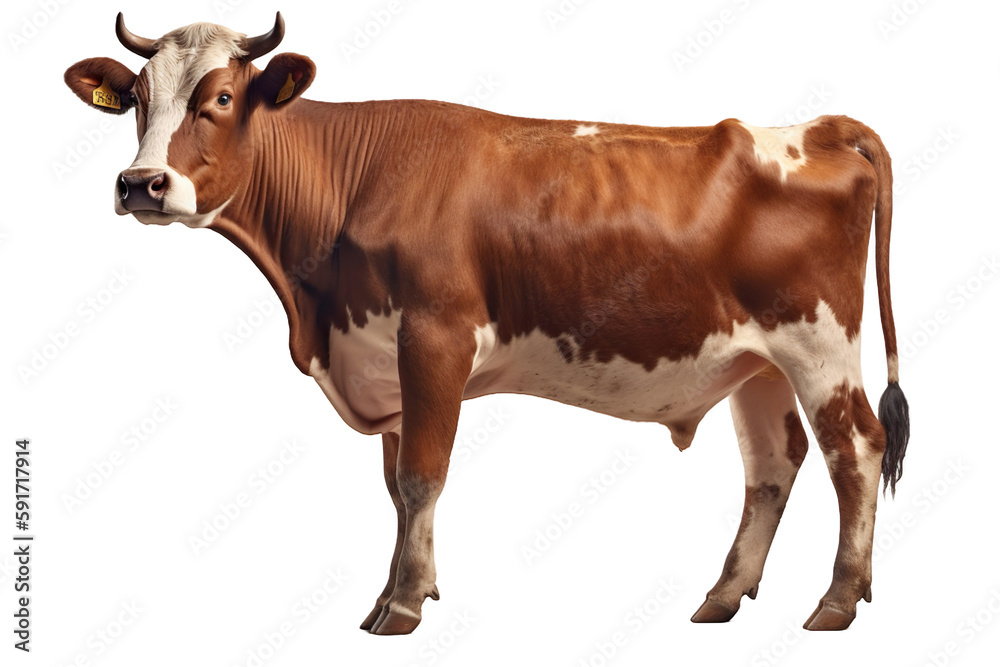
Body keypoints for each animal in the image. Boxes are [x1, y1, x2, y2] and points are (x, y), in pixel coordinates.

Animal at [65, 13, 910, 635]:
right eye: (137, 99)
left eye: (219, 99)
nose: (142, 183)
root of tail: (818, 127)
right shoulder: (382, 352)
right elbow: (395, 485)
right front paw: (399, 590)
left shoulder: (435, 336)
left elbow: (421, 475)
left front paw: (403, 606)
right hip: (755, 361)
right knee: (773, 463)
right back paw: (724, 595)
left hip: (819, 344)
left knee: (856, 448)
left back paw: (837, 600)